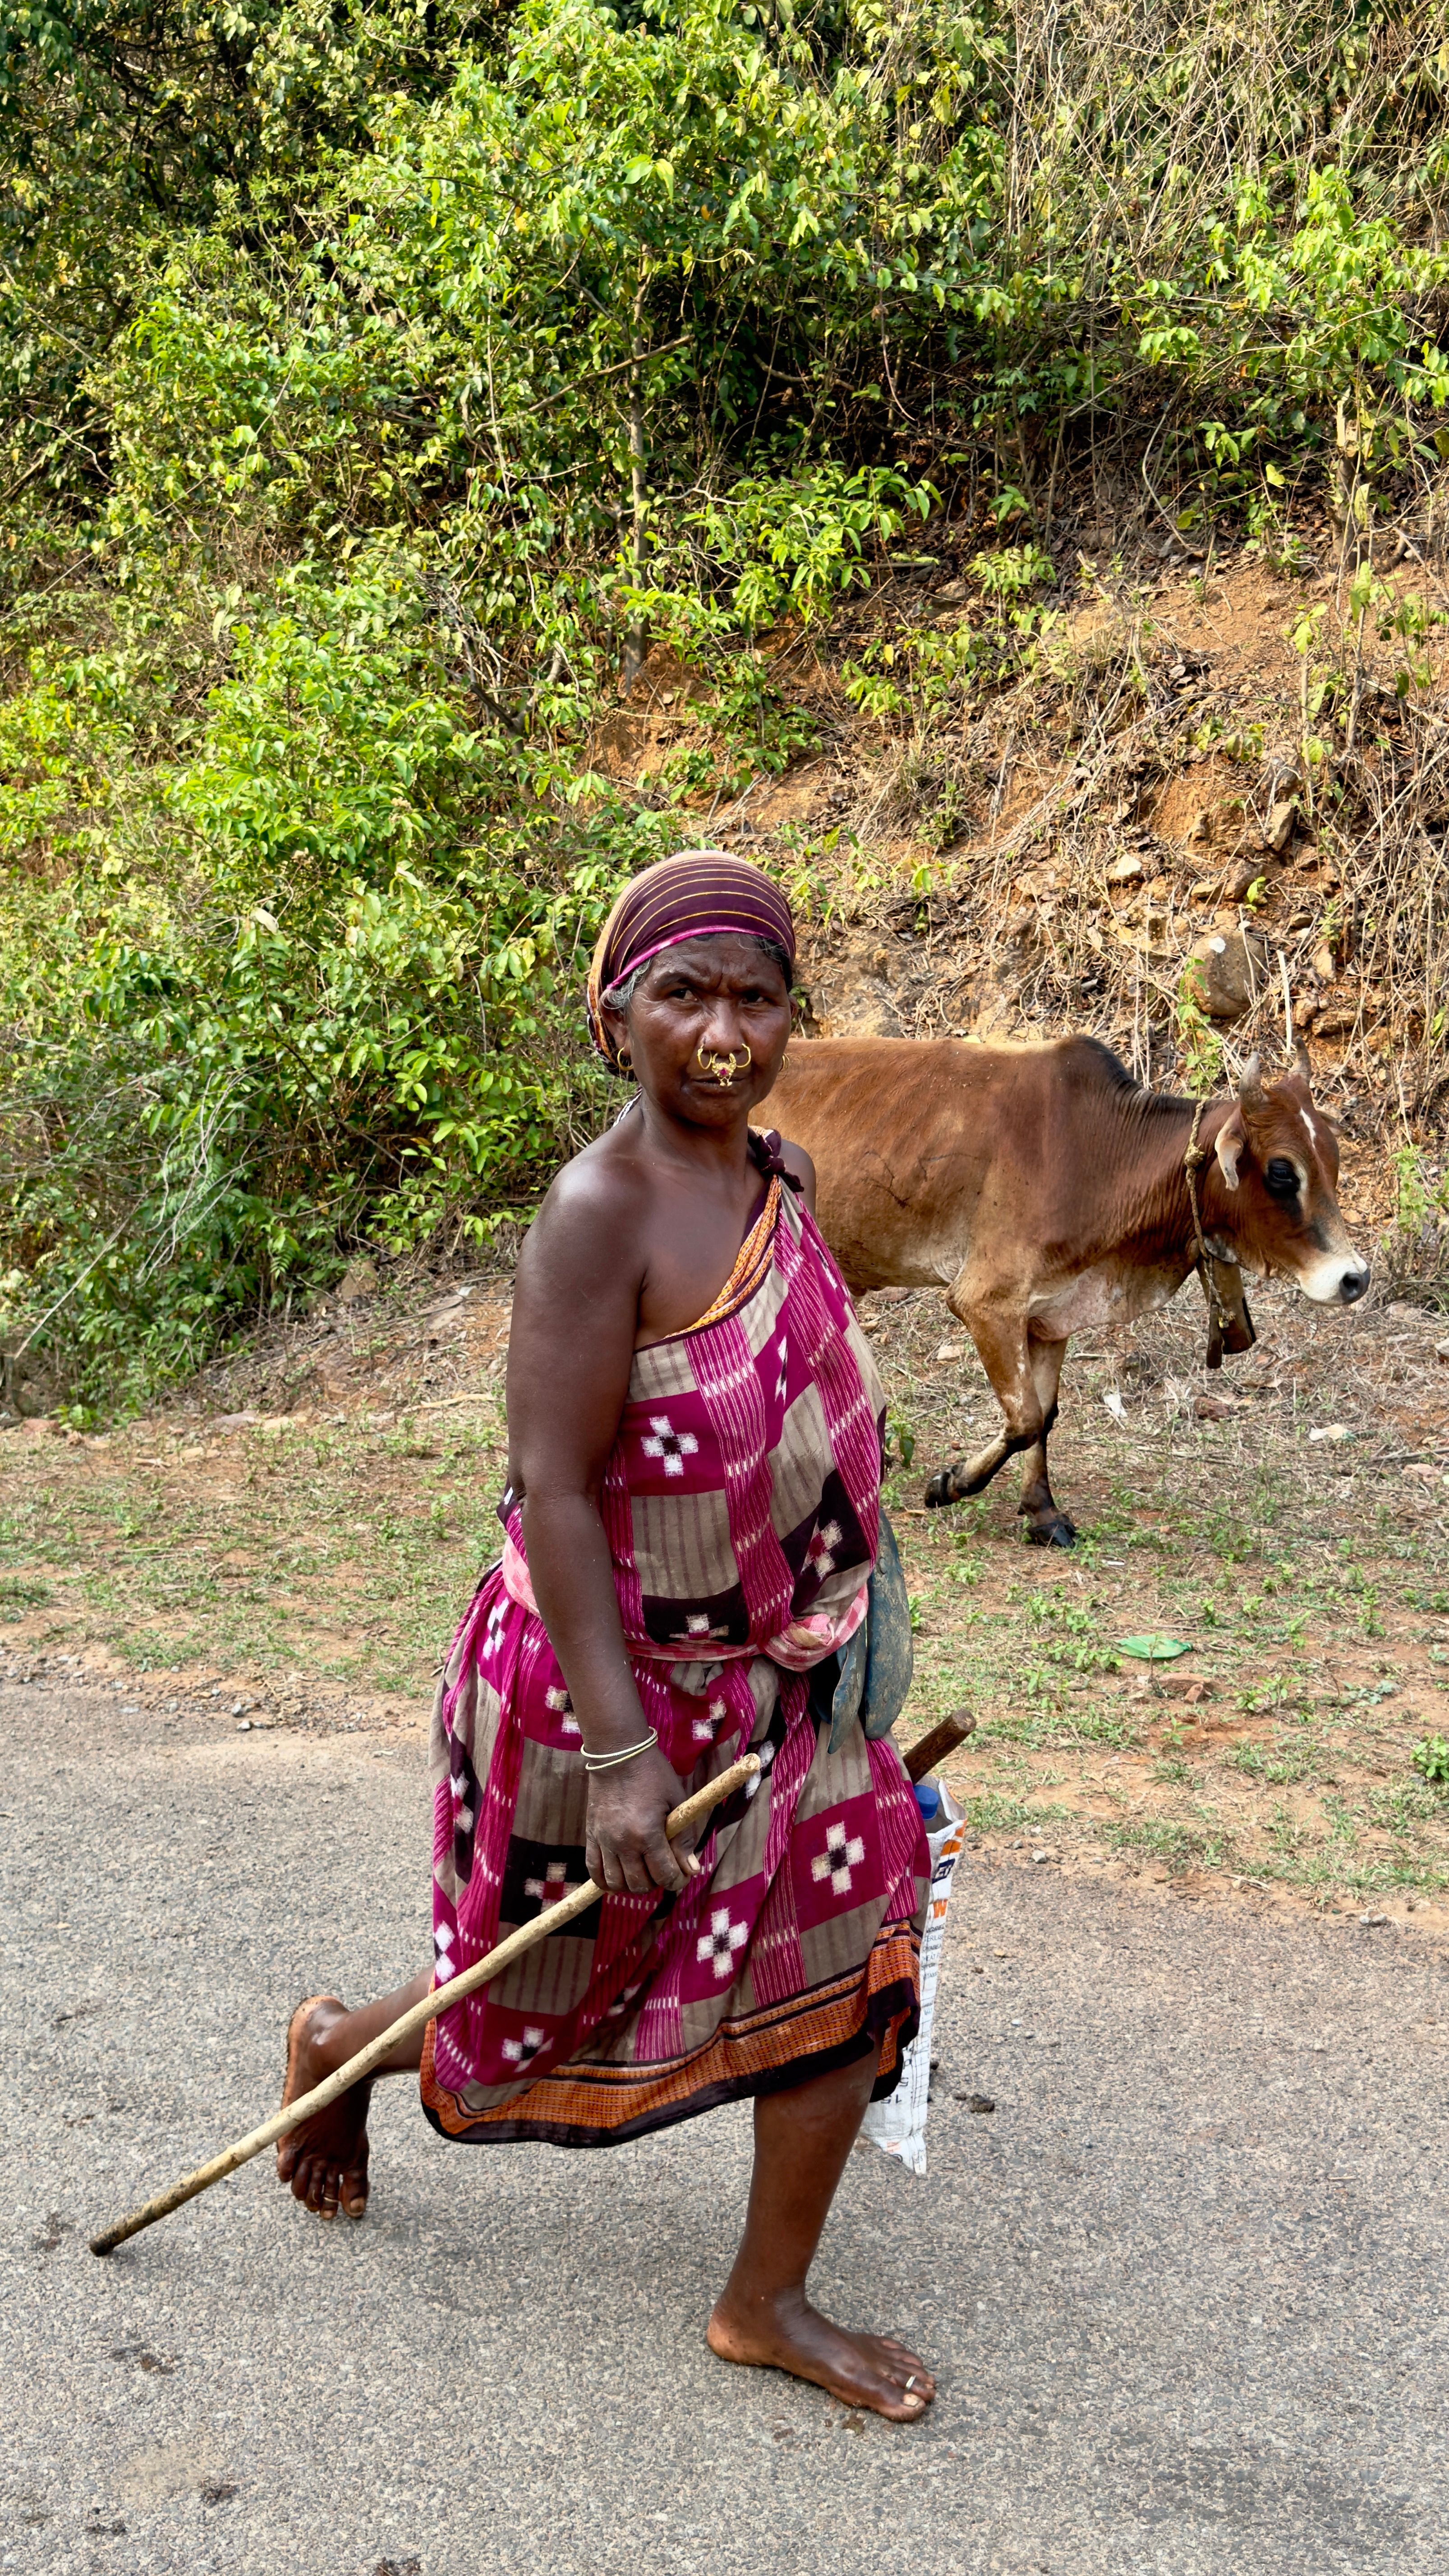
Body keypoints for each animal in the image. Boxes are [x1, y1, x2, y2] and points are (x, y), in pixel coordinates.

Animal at [765, 1034, 1369, 1547]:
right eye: (1282, 1172)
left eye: (1334, 1162)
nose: (1355, 1278)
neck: (1100, 1159)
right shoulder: (985, 1302)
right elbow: (1025, 1419)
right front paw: (951, 1484)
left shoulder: (1050, 1315)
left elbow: (1045, 1416)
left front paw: (1043, 1514)